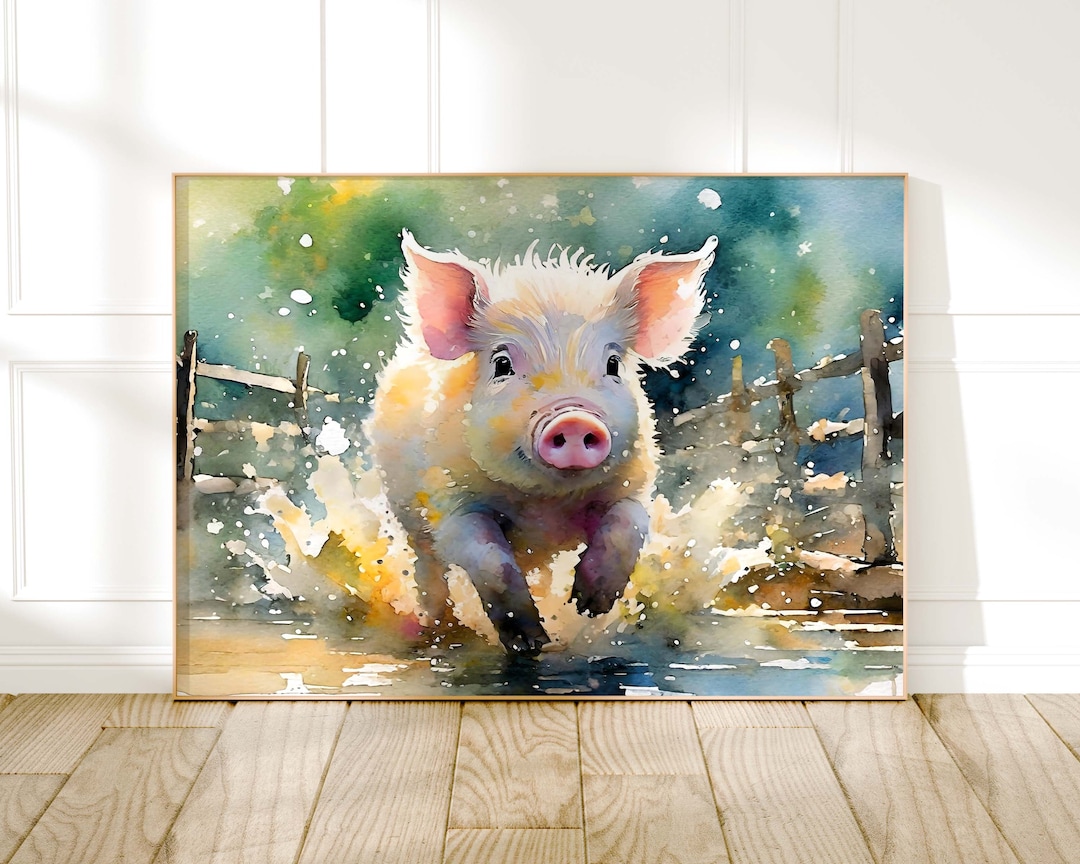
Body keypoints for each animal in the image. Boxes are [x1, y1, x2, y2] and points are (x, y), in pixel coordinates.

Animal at [366, 229, 717, 654]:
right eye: (502, 364)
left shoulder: (632, 486)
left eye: (613, 364)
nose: (573, 418)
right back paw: (435, 629)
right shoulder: (450, 503)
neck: (545, 505)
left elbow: (626, 525)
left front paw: (589, 606)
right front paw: (530, 644)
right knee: (427, 568)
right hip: (407, 518)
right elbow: (490, 559)